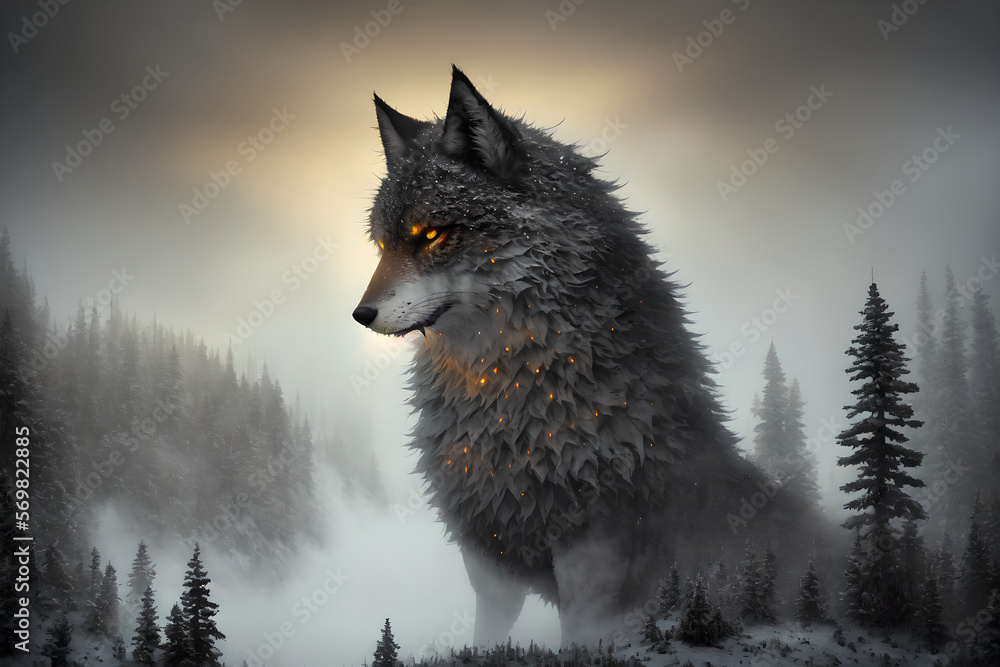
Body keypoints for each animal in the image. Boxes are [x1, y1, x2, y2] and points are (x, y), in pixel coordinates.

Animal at [353, 67, 815, 646]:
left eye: (431, 234)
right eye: (381, 246)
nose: (360, 314)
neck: (509, 410)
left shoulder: (596, 549)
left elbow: (585, 633)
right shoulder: (487, 552)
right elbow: (488, 634)